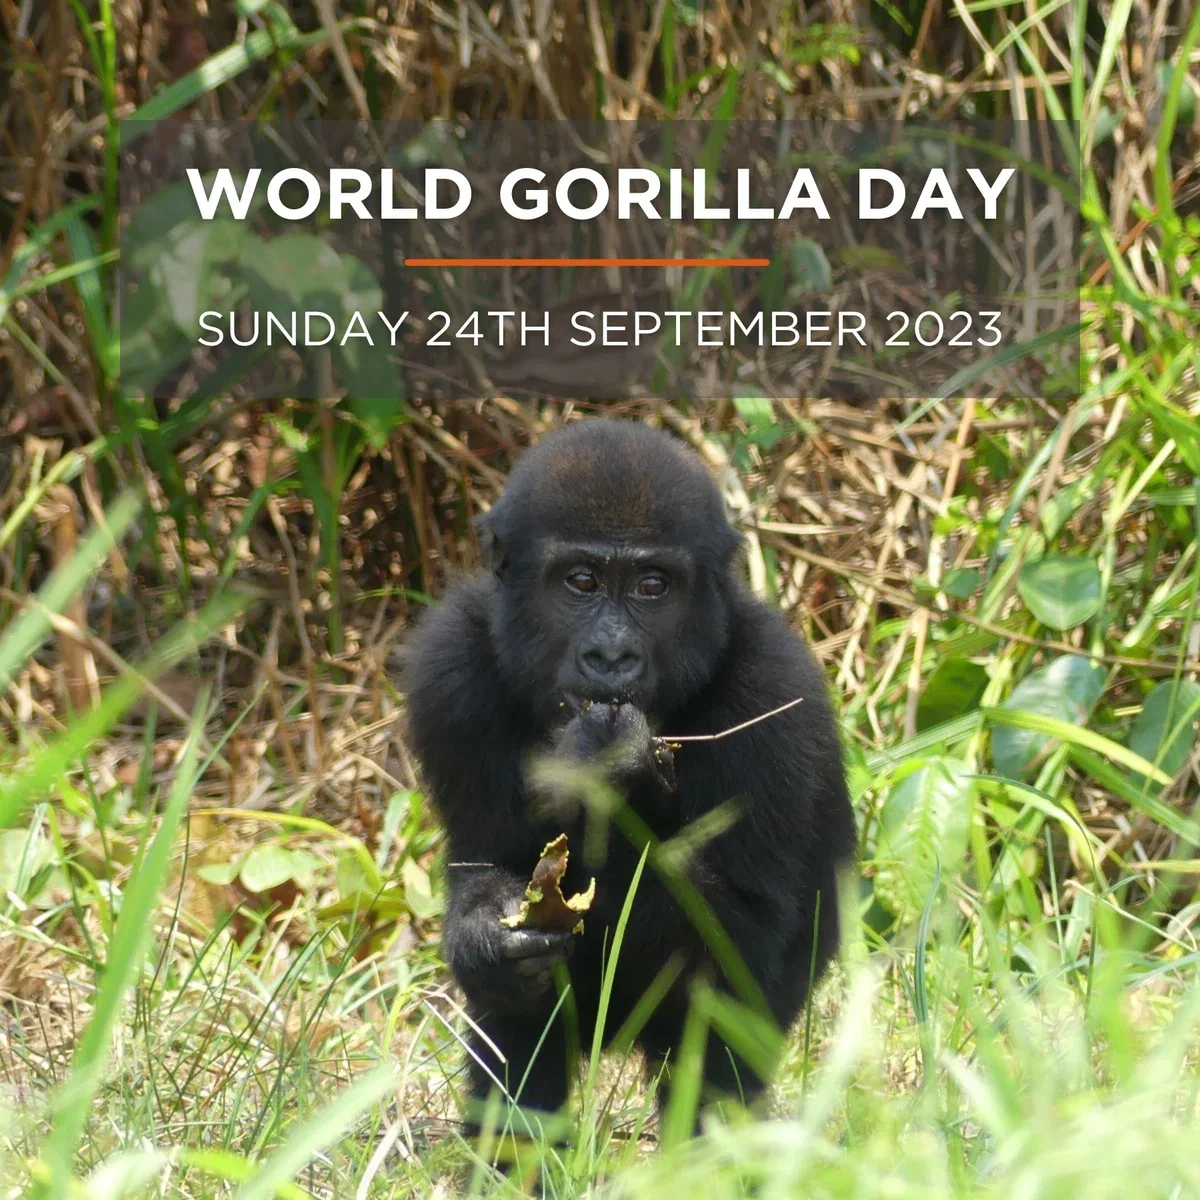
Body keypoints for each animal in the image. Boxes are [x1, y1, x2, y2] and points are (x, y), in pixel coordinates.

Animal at [405, 418, 855, 1129]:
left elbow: (745, 948)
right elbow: (481, 872)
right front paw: (485, 933)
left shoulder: (775, 693)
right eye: (581, 581)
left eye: (652, 587)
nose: (611, 655)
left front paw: (612, 770)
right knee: (519, 1036)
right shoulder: (447, 672)